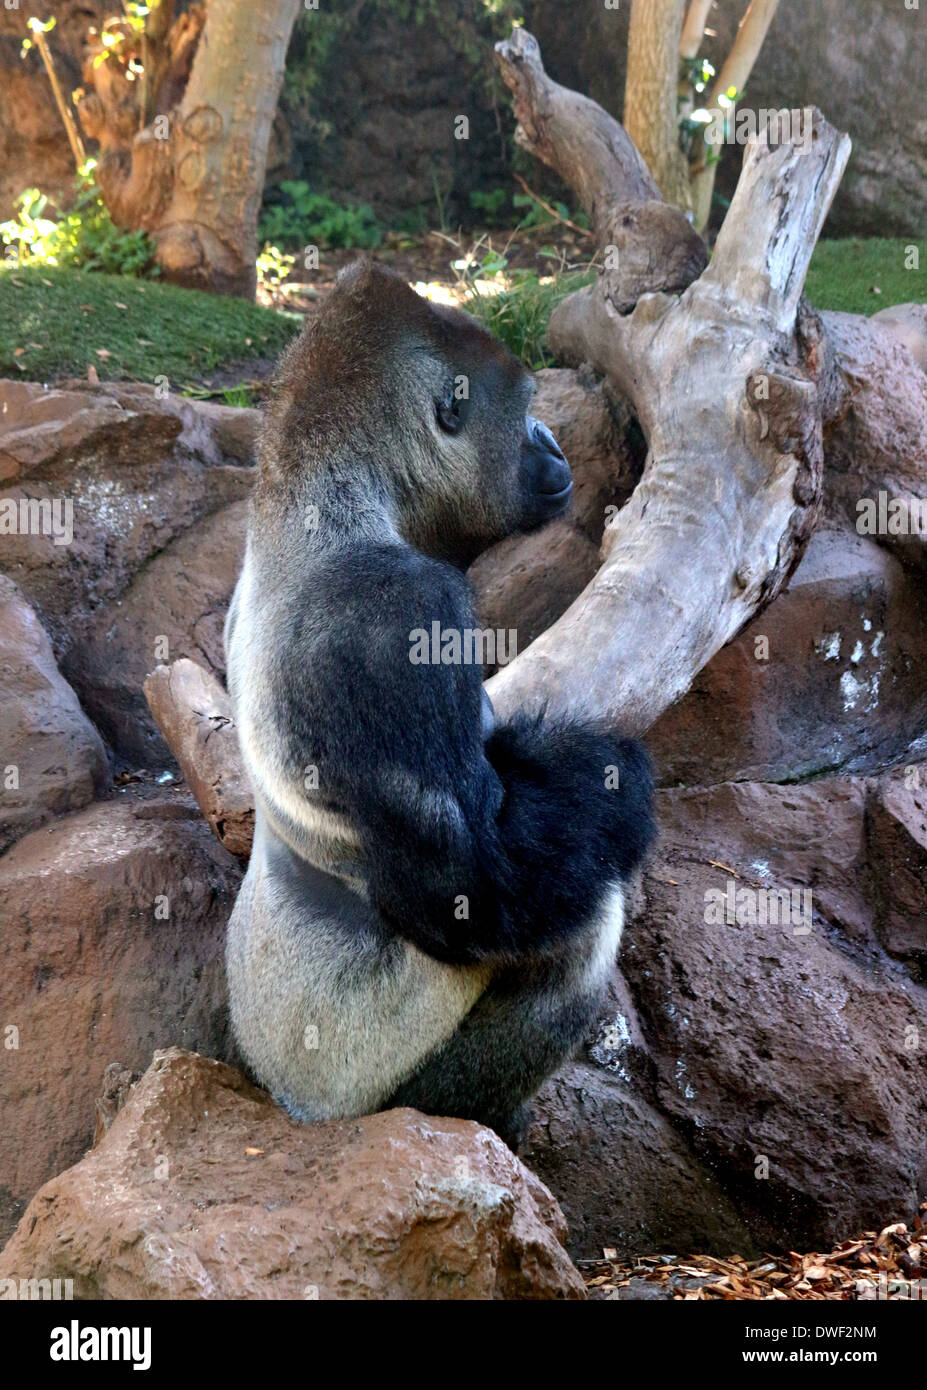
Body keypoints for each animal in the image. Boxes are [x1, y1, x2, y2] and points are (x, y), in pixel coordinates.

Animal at [225, 262, 655, 1150]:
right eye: (523, 409)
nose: (551, 441)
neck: (316, 498)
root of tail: (272, 1091)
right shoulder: (394, 614)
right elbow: (474, 882)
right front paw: (613, 775)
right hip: (348, 1090)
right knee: (578, 929)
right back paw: (467, 1115)